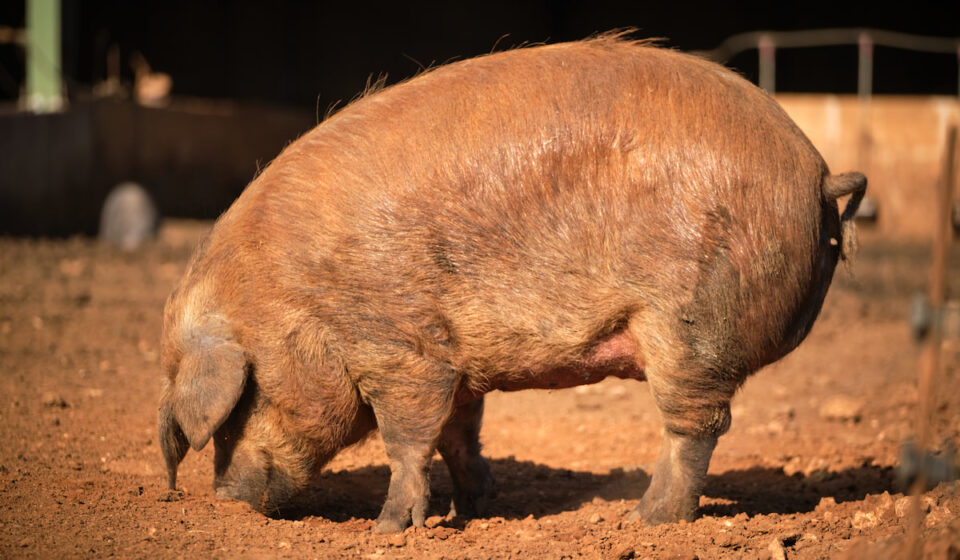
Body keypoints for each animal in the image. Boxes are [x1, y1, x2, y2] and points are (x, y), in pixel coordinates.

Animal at [157, 36, 867, 532]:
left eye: (239, 407)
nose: (225, 499)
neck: (298, 298)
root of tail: (818, 173)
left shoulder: (400, 346)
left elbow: (406, 438)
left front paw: (391, 528)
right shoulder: (455, 356)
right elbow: (457, 434)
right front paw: (472, 508)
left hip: (691, 326)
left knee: (694, 428)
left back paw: (647, 520)